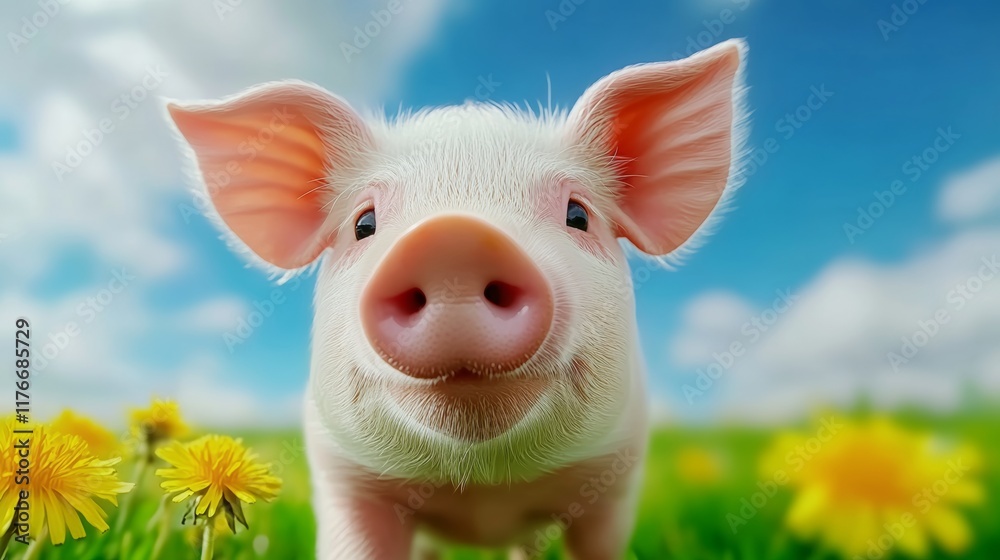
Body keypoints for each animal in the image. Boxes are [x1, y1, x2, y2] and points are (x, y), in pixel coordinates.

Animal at [166, 39, 747, 560]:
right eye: (363, 224)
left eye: (578, 214)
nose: (453, 238)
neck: (484, 487)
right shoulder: (345, 479)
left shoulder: (615, 478)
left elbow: (598, 545)